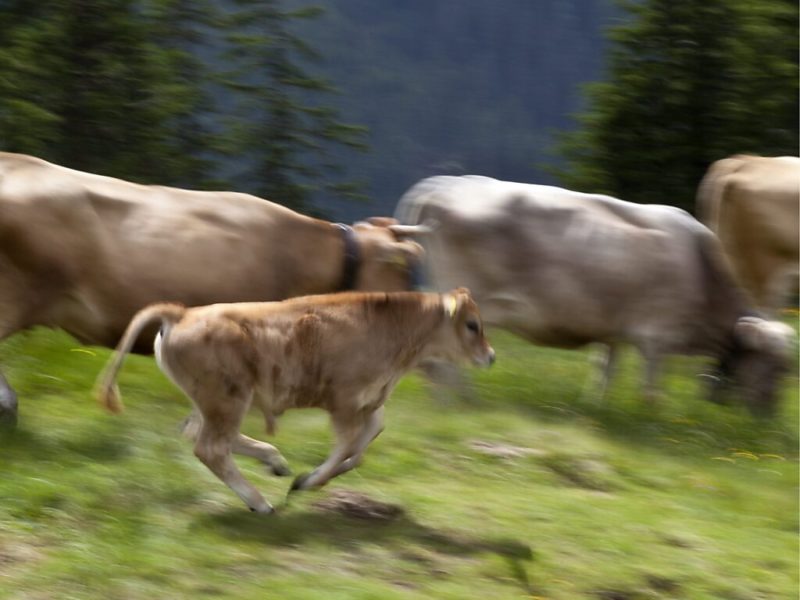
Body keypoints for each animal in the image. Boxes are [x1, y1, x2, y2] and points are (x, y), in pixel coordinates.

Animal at [95, 289, 495, 513]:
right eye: (472, 324)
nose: (490, 357)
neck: (390, 326)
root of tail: (182, 312)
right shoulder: (344, 400)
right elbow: (348, 443)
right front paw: (308, 481)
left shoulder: (370, 401)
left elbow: (364, 443)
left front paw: (309, 477)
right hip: (227, 400)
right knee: (211, 447)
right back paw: (260, 502)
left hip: (213, 403)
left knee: (202, 435)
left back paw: (275, 462)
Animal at [392, 175, 795, 416]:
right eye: (775, 366)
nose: (768, 418)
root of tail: (441, 185)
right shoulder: (657, 336)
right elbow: (650, 388)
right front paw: (651, 421)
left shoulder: (612, 332)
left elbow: (605, 371)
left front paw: (594, 408)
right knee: (442, 364)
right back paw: (458, 405)